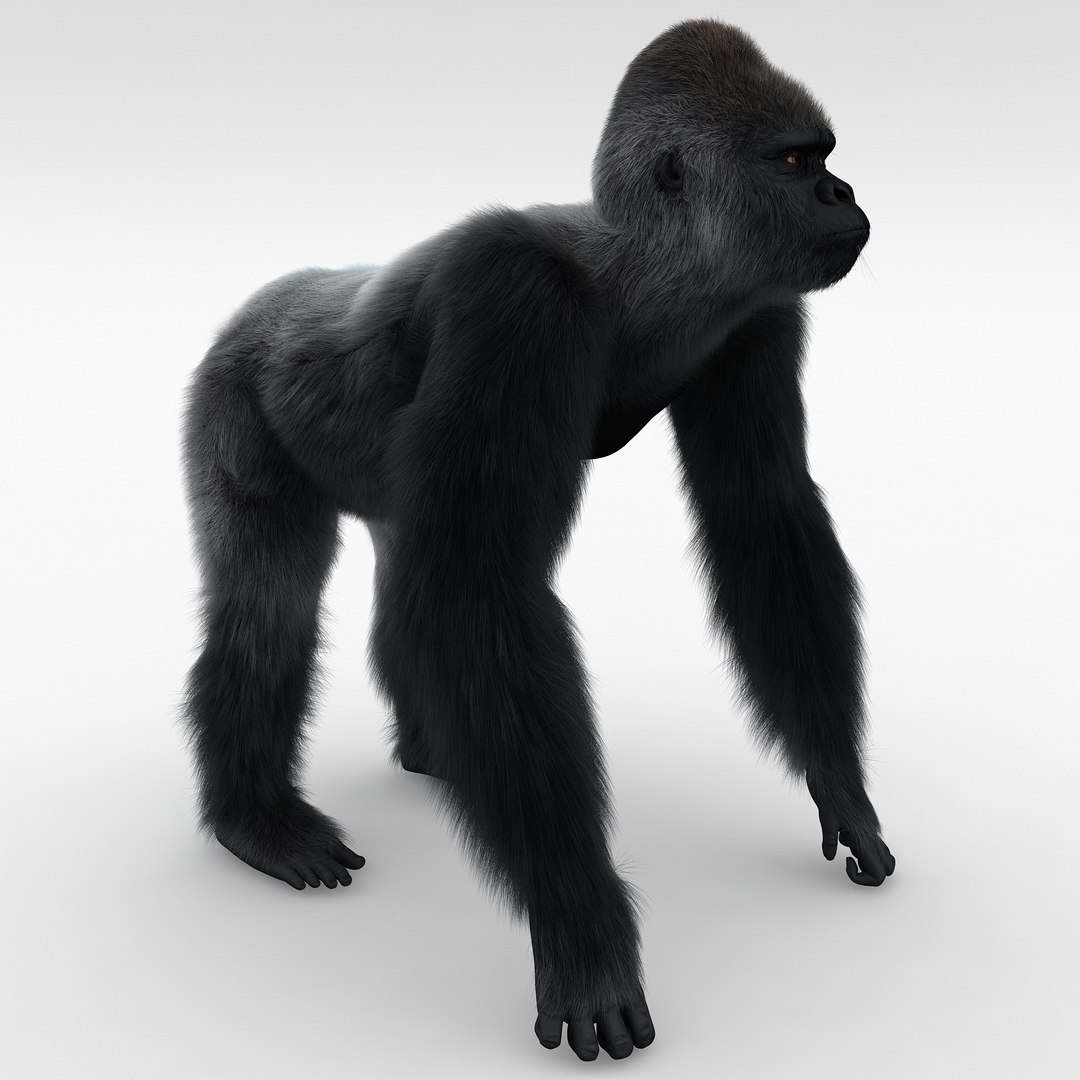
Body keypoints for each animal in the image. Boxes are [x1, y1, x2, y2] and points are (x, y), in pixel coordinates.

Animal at [180, 18, 895, 1062]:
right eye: (796, 163)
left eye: (825, 160)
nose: (843, 194)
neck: (640, 272)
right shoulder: (515, 298)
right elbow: (480, 585)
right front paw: (581, 927)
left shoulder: (758, 308)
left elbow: (762, 519)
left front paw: (838, 780)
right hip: (233, 386)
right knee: (269, 607)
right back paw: (253, 818)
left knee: (403, 590)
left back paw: (428, 749)